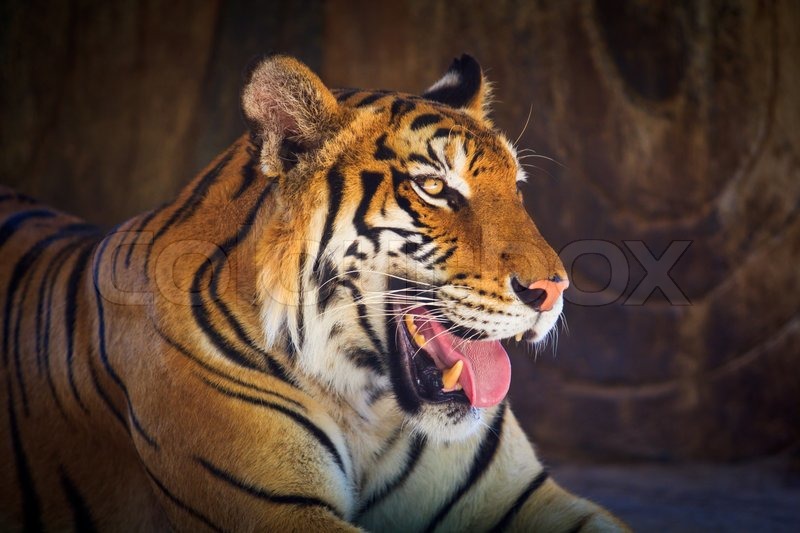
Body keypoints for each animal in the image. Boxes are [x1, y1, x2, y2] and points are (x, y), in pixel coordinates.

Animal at [0, 54, 629, 531]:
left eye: (516, 188)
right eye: (433, 187)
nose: (553, 289)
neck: (370, 407)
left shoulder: (518, 494)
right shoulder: (275, 509)